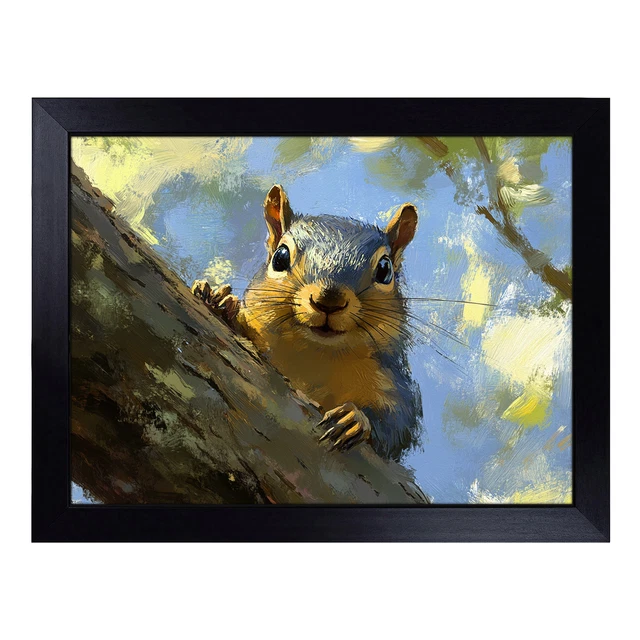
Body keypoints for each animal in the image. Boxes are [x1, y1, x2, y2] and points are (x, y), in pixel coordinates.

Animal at [191, 185, 423, 461]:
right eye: (280, 257)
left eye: (385, 269)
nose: (329, 300)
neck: (312, 353)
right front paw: (221, 299)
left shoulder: (391, 380)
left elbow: (397, 423)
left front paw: (355, 419)